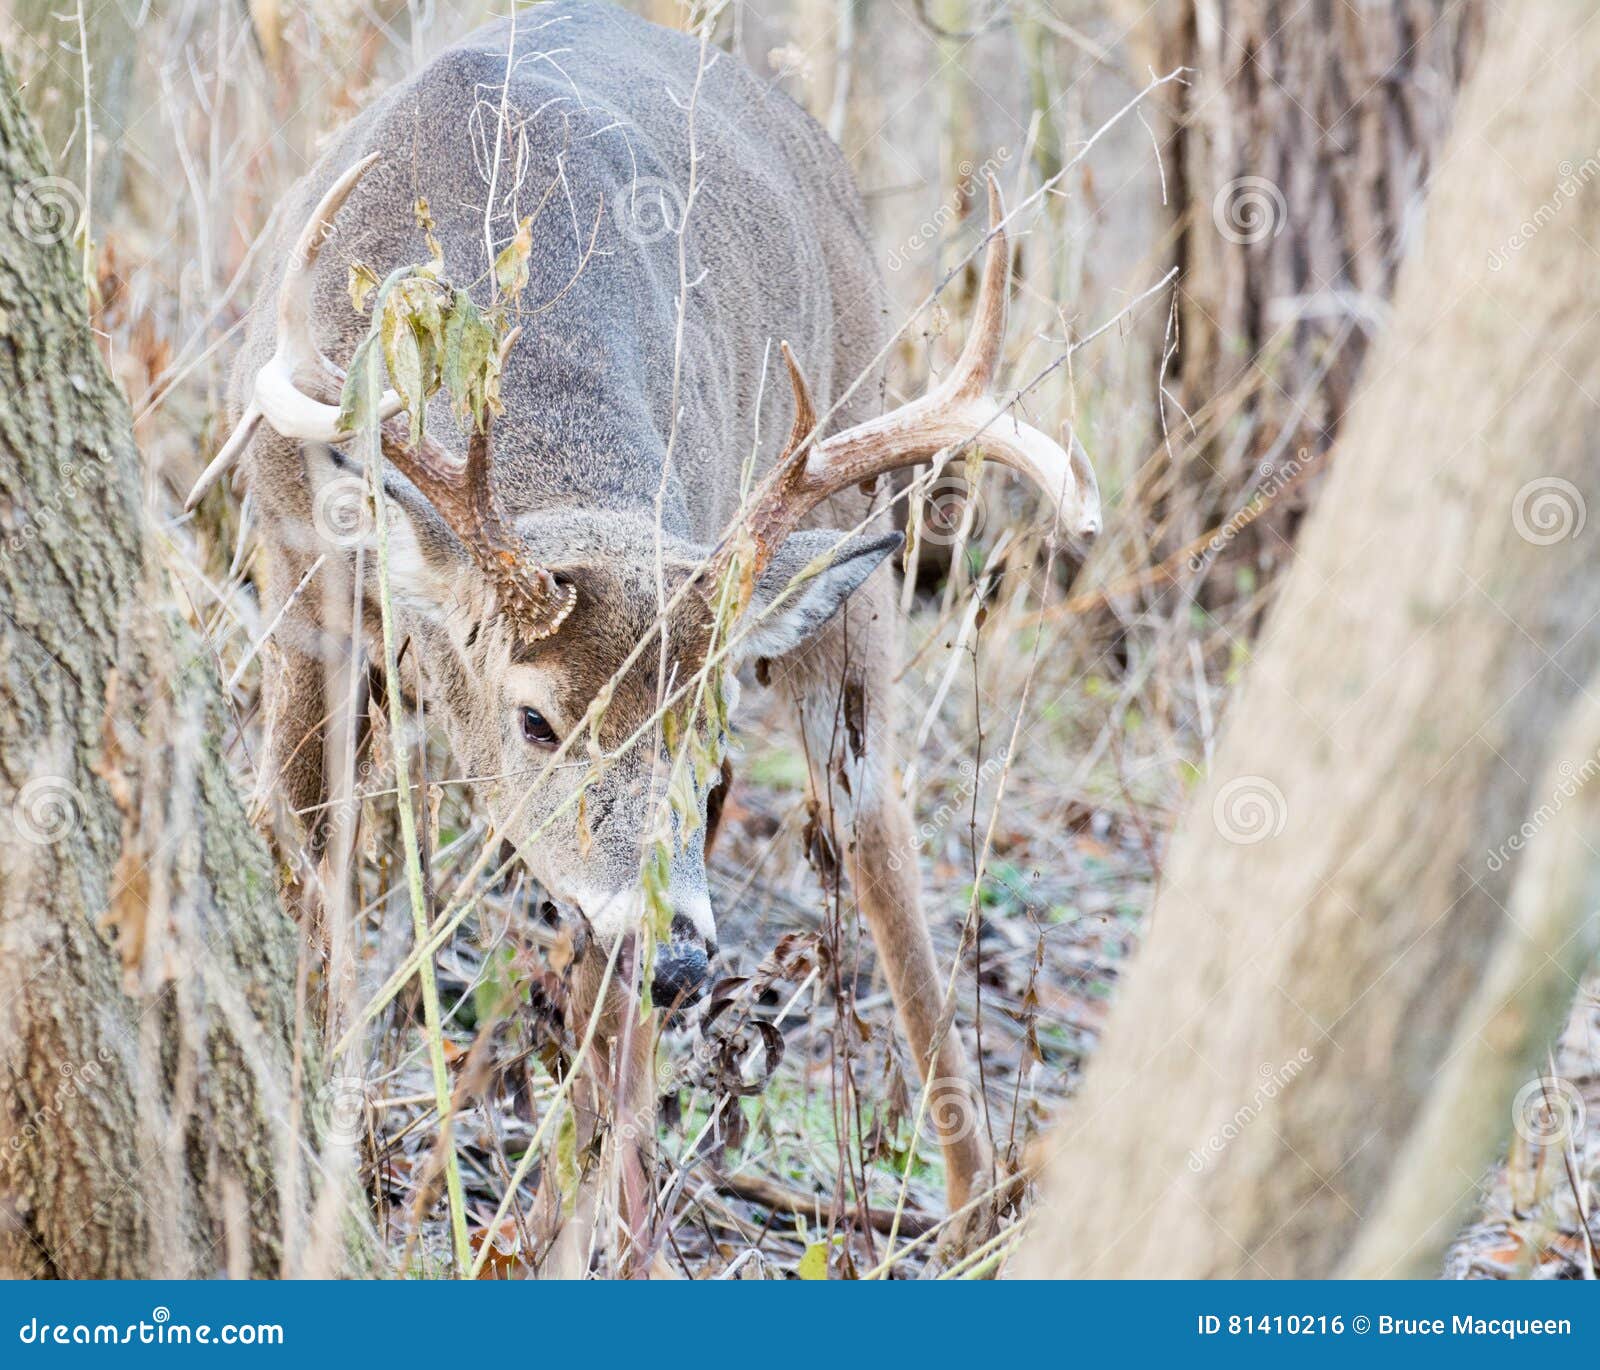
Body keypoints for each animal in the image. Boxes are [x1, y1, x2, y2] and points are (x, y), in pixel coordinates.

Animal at [193, 1, 1099, 1274]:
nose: (684, 958)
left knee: (870, 818)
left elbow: (607, 1011)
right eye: (533, 717)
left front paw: (593, 1241)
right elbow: (307, 865)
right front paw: (314, 1153)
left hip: (855, 474)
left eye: (705, 719)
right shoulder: (297, 576)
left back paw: (972, 1209)